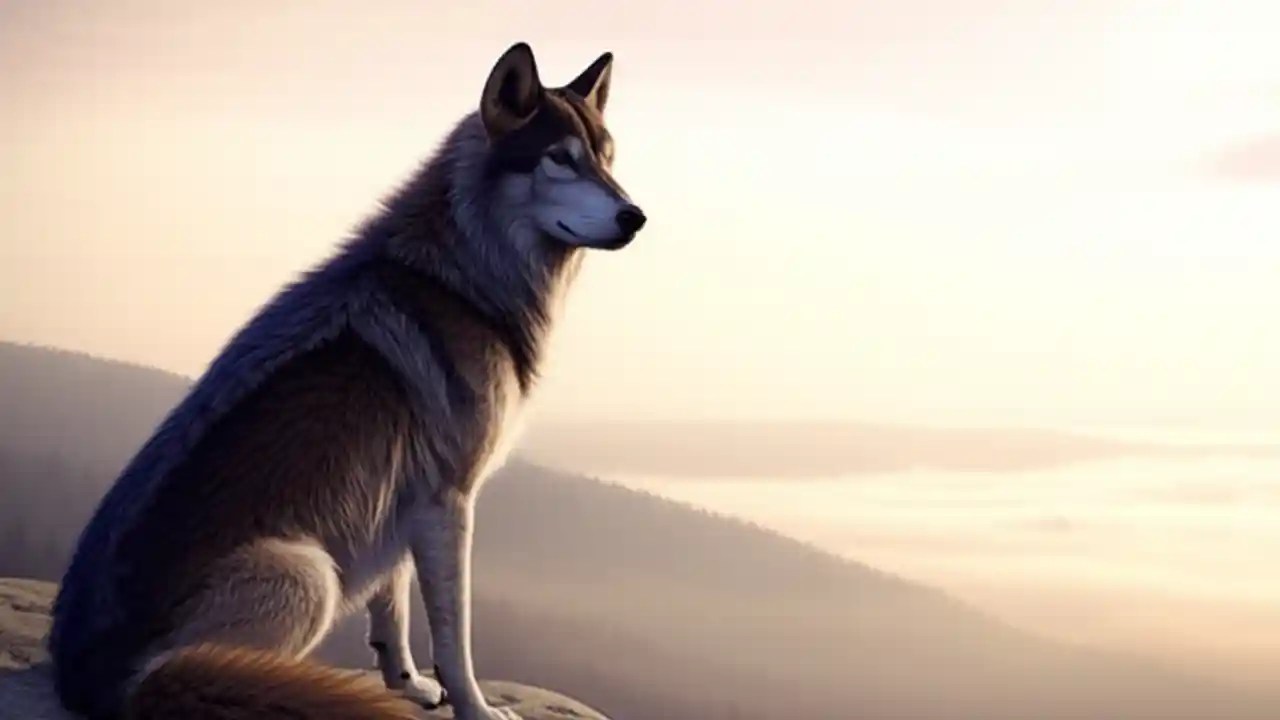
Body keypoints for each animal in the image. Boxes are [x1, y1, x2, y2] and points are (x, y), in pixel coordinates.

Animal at [47, 42, 645, 720]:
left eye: (607, 159)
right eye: (560, 160)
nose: (636, 216)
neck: (462, 284)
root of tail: (85, 681)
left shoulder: (403, 499)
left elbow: (393, 604)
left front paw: (407, 682)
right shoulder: (450, 500)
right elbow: (455, 637)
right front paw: (476, 708)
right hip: (308, 577)